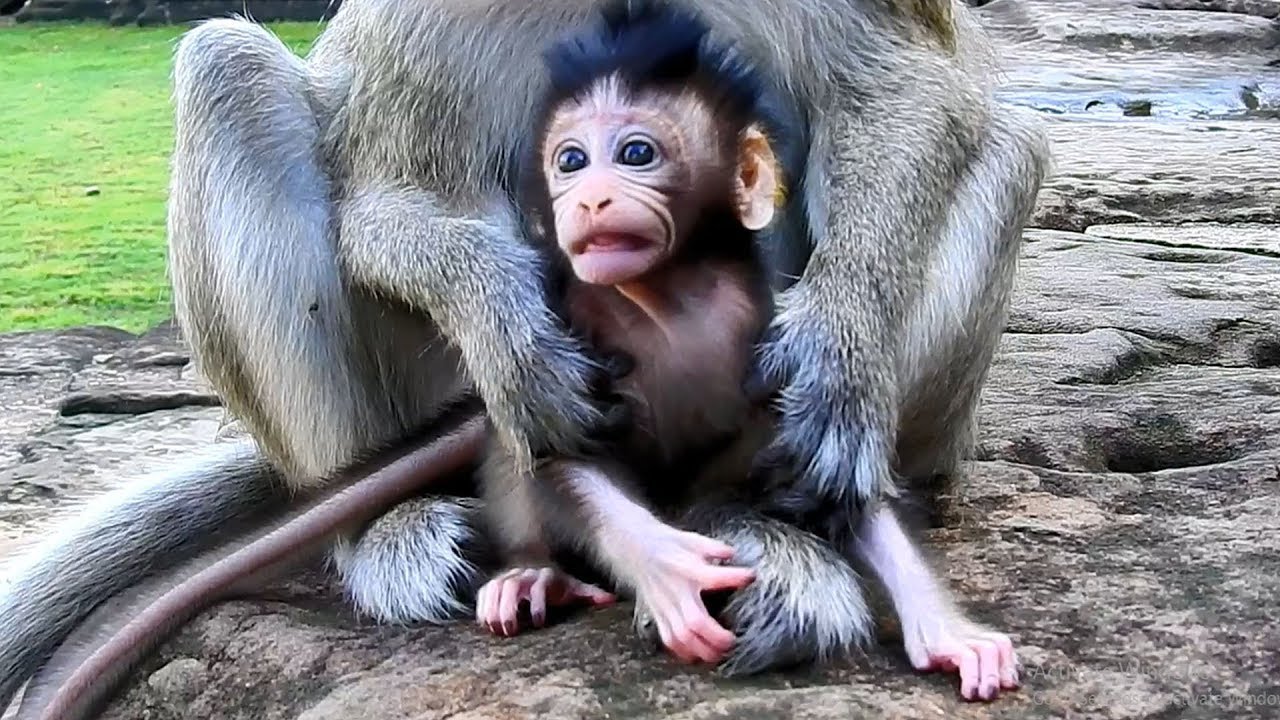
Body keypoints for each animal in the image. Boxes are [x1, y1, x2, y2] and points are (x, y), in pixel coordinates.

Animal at [0, 0, 1050, 712]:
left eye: (641, 152)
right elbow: (384, 201)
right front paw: (511, 334)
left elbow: (911, 92)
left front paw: (841, 350)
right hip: (414, 388)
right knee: (231, 72)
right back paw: (391, 530)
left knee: (1011, 140)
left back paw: (773, 525)